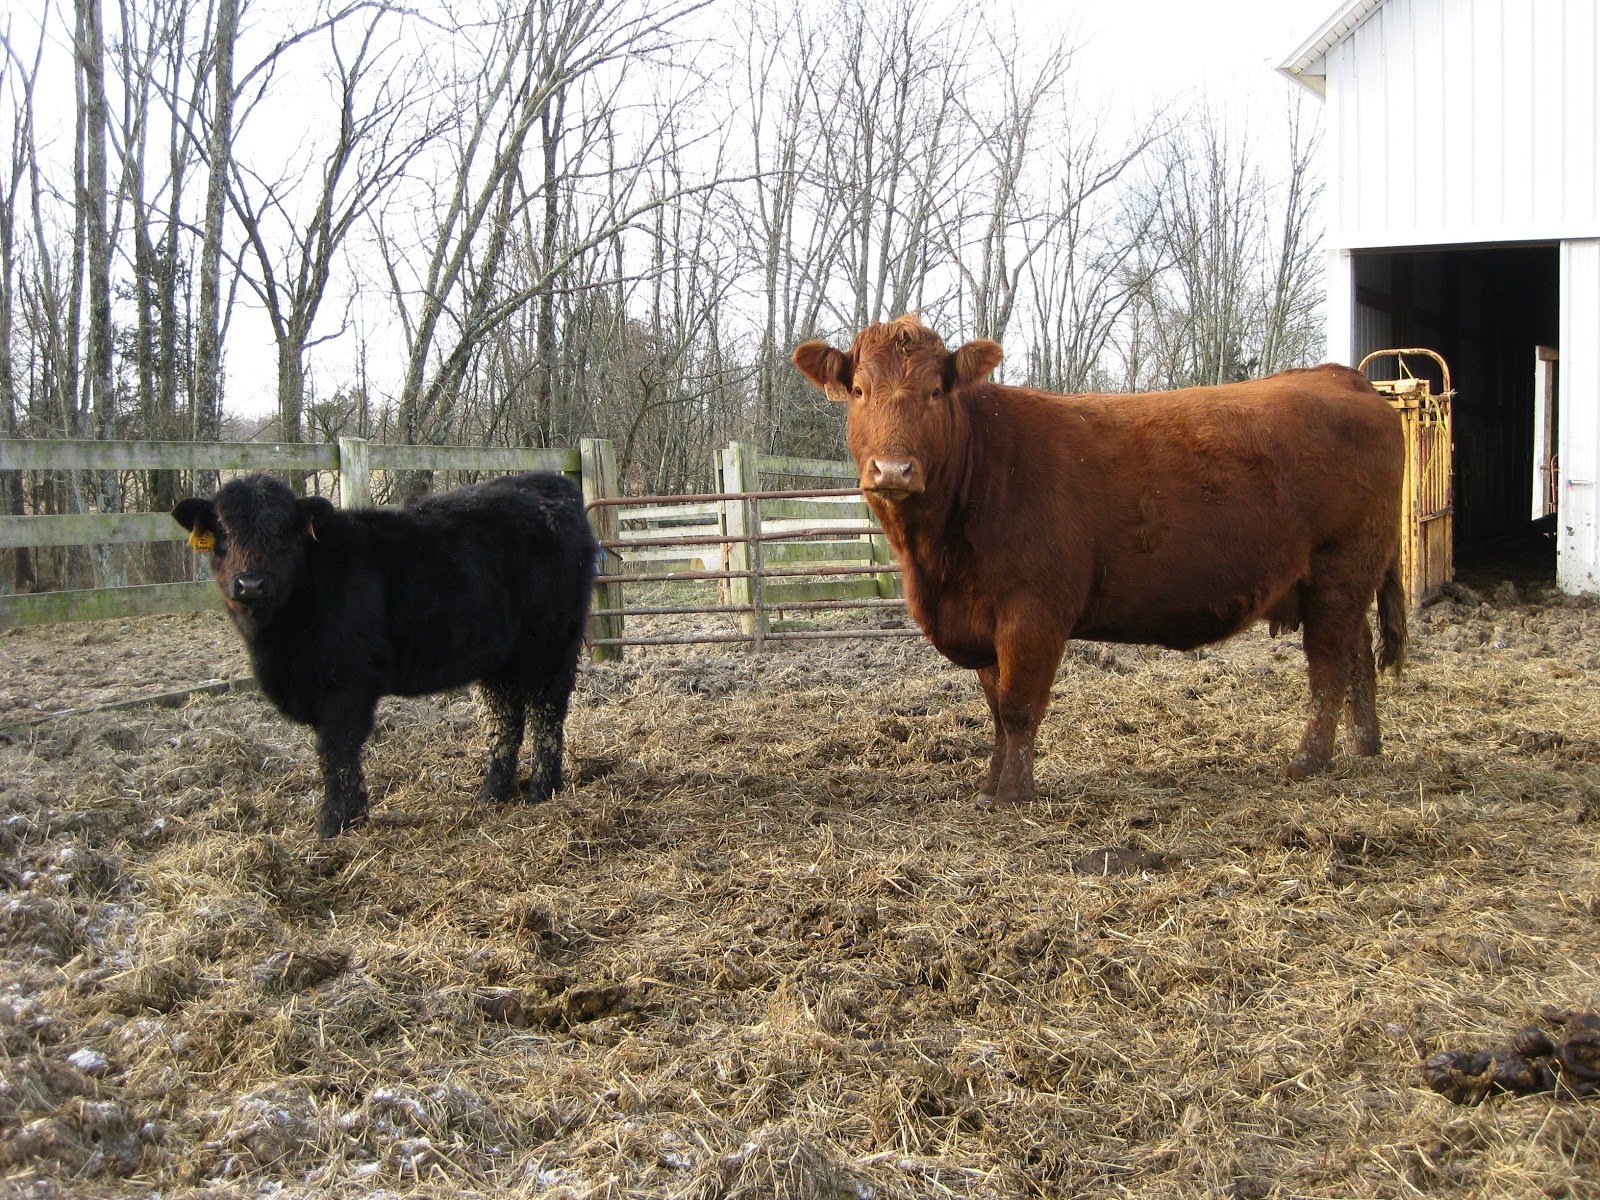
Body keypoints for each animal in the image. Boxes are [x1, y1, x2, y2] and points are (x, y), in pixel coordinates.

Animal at [172, 472, 598, 838]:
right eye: (222, 530)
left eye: (281, 531)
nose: (250, 584)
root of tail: (547, 483)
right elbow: (336, 755)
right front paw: (353, 815)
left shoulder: (347, 684)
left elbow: (336, 750)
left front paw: (334, 823)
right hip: (499, 657)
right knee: (504, 719)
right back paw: (491, 793)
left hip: (550, 643)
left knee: (546, 713)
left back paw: (542, 789)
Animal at [792, 315, 1407, 806]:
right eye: (860, 390)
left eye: (935, 392)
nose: (893, 469)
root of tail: (1339, 376)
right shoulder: (983, 617)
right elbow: (994, 708)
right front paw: (989, 785)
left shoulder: (1033, 611)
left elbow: (1017, 705)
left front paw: (1013, 794)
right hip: (1341, 580)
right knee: (1359, 653)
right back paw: (1365, 746)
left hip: (1341, 567)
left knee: (1329, 663)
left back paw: (1307, 761)